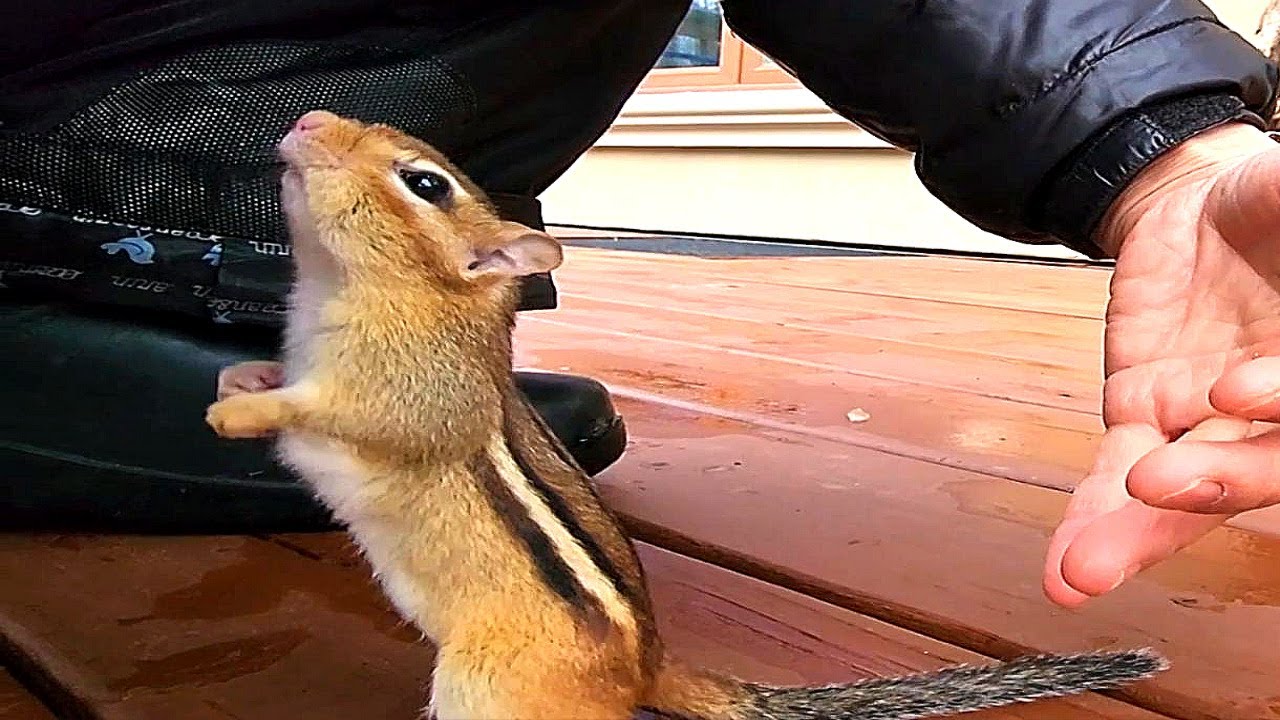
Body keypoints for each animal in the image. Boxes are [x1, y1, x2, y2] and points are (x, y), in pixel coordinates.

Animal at [206, 109, 1168, 720]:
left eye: (423, 182)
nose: (304, 120)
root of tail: (646, 670)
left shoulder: (410, 391)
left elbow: (358, 420)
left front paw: (236, 420)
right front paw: (237, 379)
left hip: (486, 694)